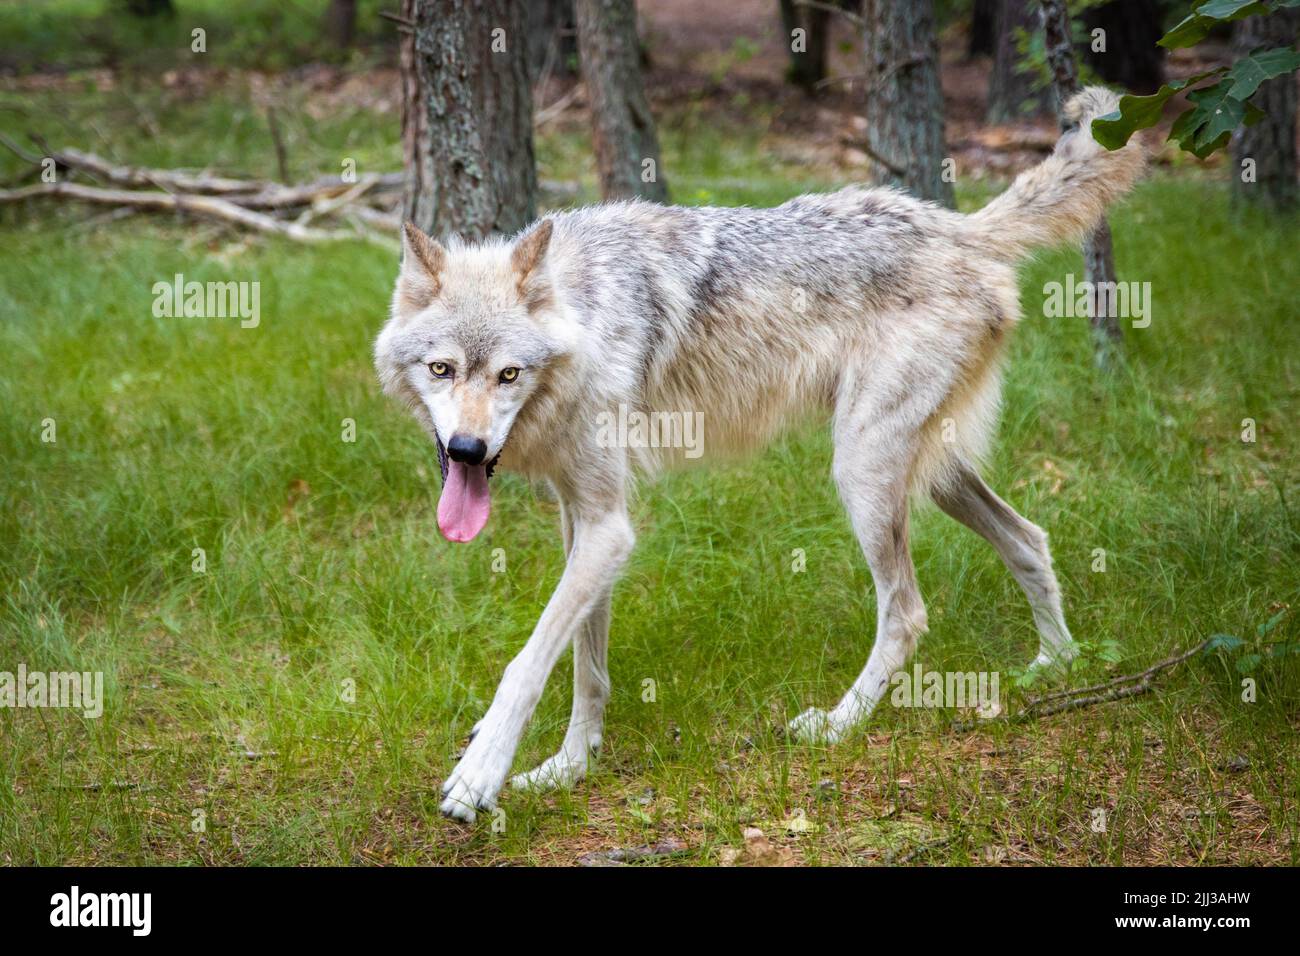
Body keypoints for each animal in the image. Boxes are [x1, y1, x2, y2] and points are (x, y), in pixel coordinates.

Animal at [374, 88, 1145, 821]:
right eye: (443, 370)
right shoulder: (585, 520)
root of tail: (961, 228)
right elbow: (584, 668)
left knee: (907, 612)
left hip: (862, 473)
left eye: (509, 375)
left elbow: (529, 661)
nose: (467, 448)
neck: (585, 314)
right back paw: (1058, 666)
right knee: (1029, 538)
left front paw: (480, 778)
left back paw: (837, 724)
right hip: (929, 477)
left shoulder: (608, 528)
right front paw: (569, 766)